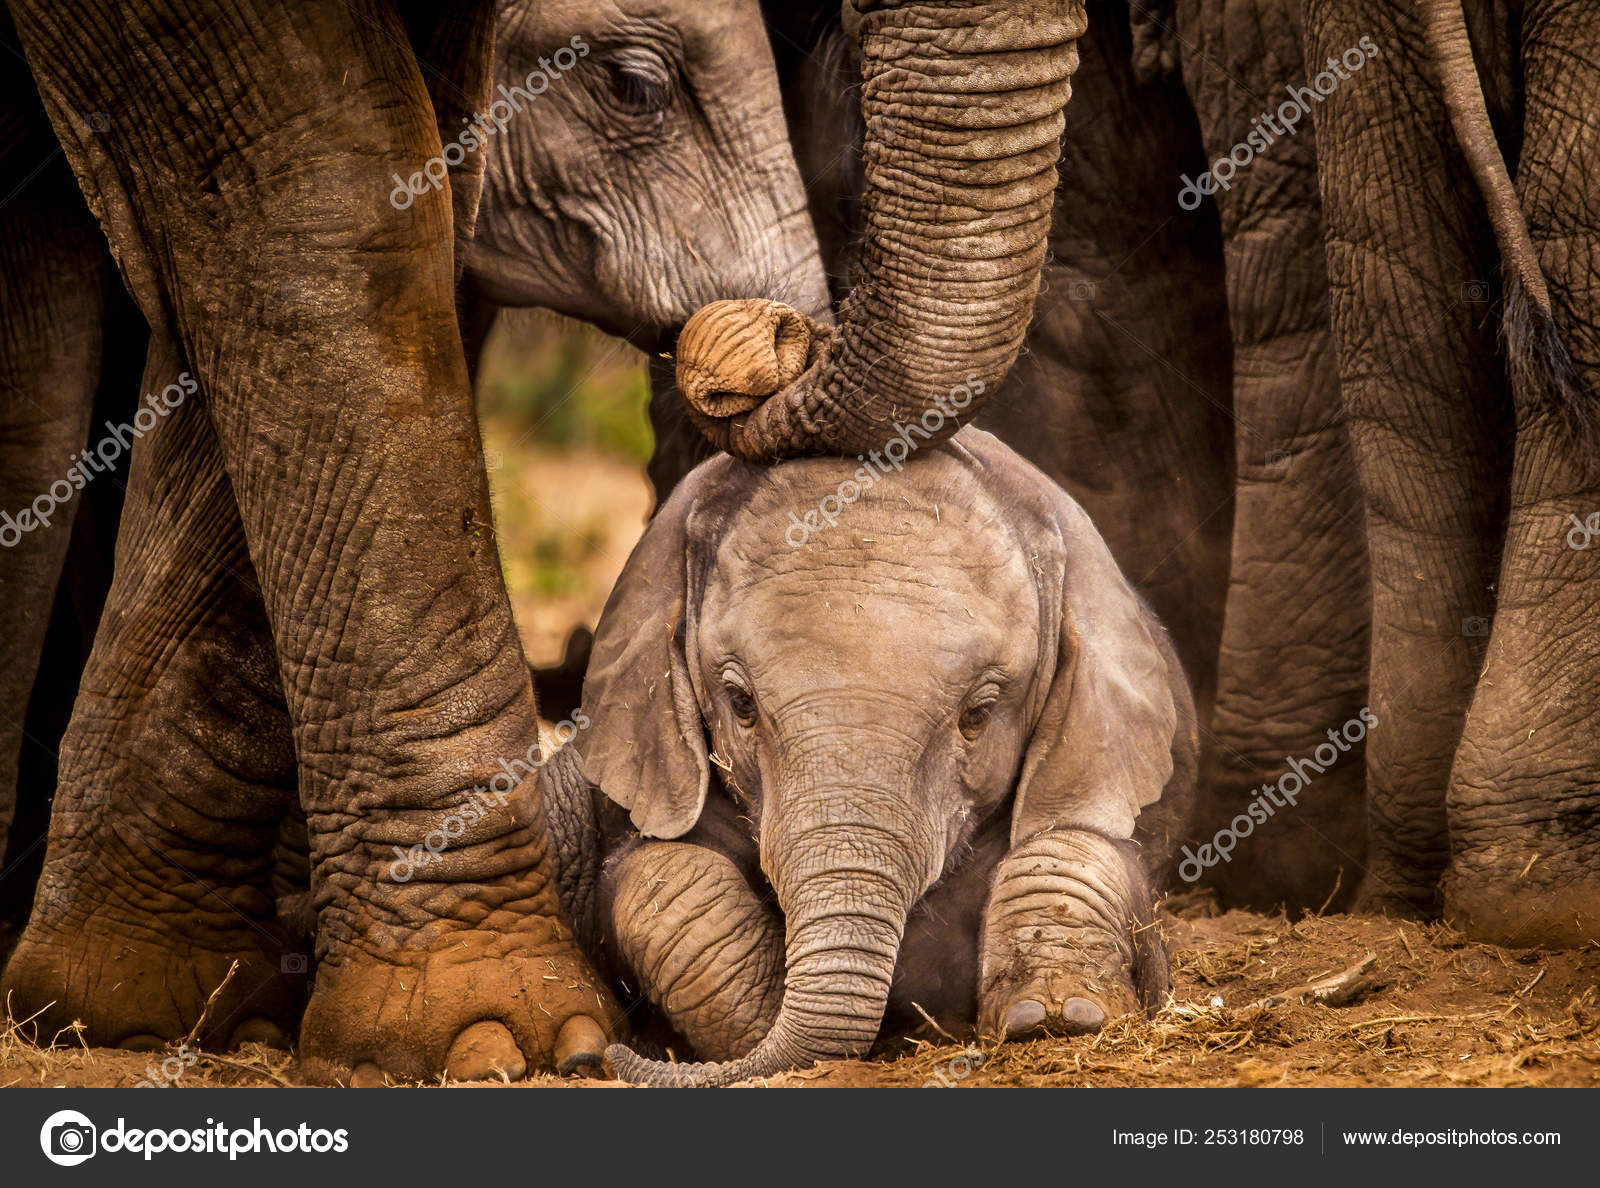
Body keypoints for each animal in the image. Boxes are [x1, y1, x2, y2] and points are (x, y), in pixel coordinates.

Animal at [547, 413, 1196, 1087]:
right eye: (741, 703)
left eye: (978, 715)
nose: (604, 1059)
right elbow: (662, 874)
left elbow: (1078, 846)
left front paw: (1055, 1017)